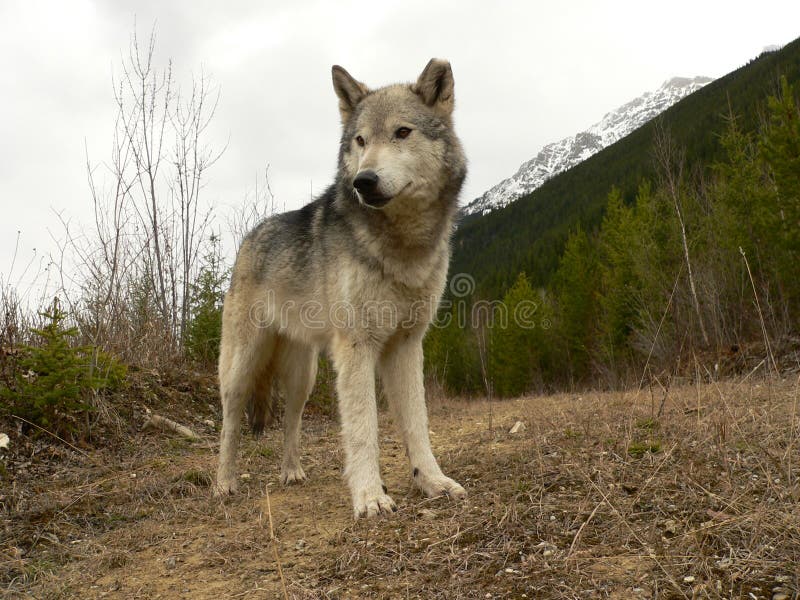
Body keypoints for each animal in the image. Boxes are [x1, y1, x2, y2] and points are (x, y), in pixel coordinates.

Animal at [215, 59, 468, 518]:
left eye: (402, 132)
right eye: (360, 140)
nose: (363, 181)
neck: (402, 244)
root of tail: (250, 237)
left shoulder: (407, 345)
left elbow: (417, 424)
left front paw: (433, 482)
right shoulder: (357, 347)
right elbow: (364, 427)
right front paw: (370, 498)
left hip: (303, 375)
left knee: (291, 420)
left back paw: (291, 472)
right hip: (242, 365)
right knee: (229, 422)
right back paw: (224, 482)